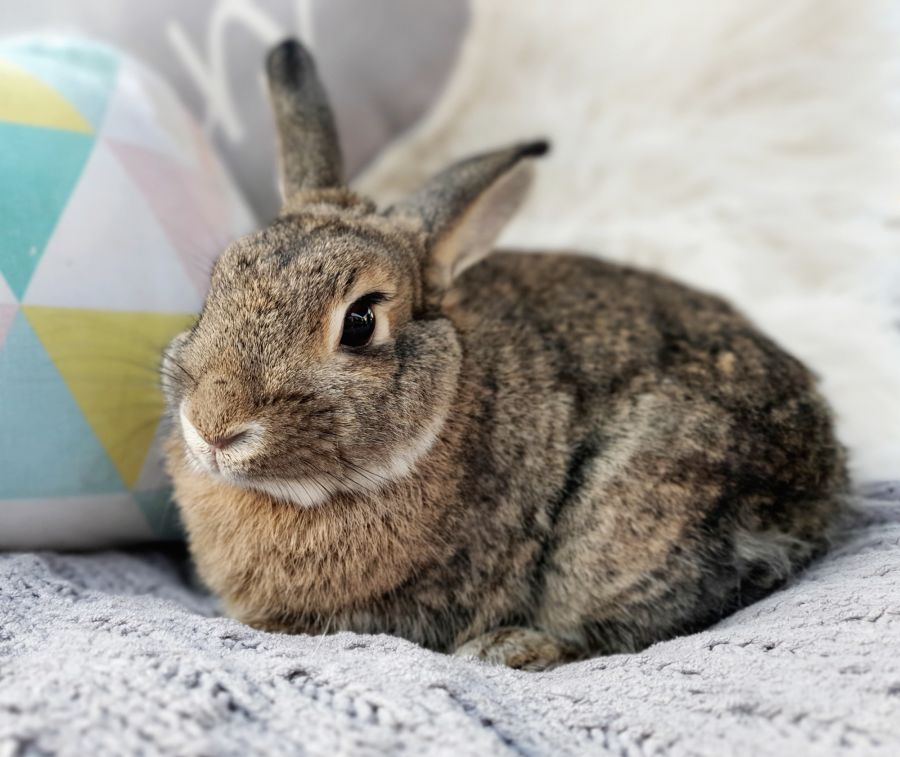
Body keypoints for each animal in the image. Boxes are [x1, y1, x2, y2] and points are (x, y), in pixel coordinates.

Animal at [161, 39, 848, 671]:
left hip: (628, 520)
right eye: (218, 286)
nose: (215, 428)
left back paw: (509, 647)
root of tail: (823, 475)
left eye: (360, 322)